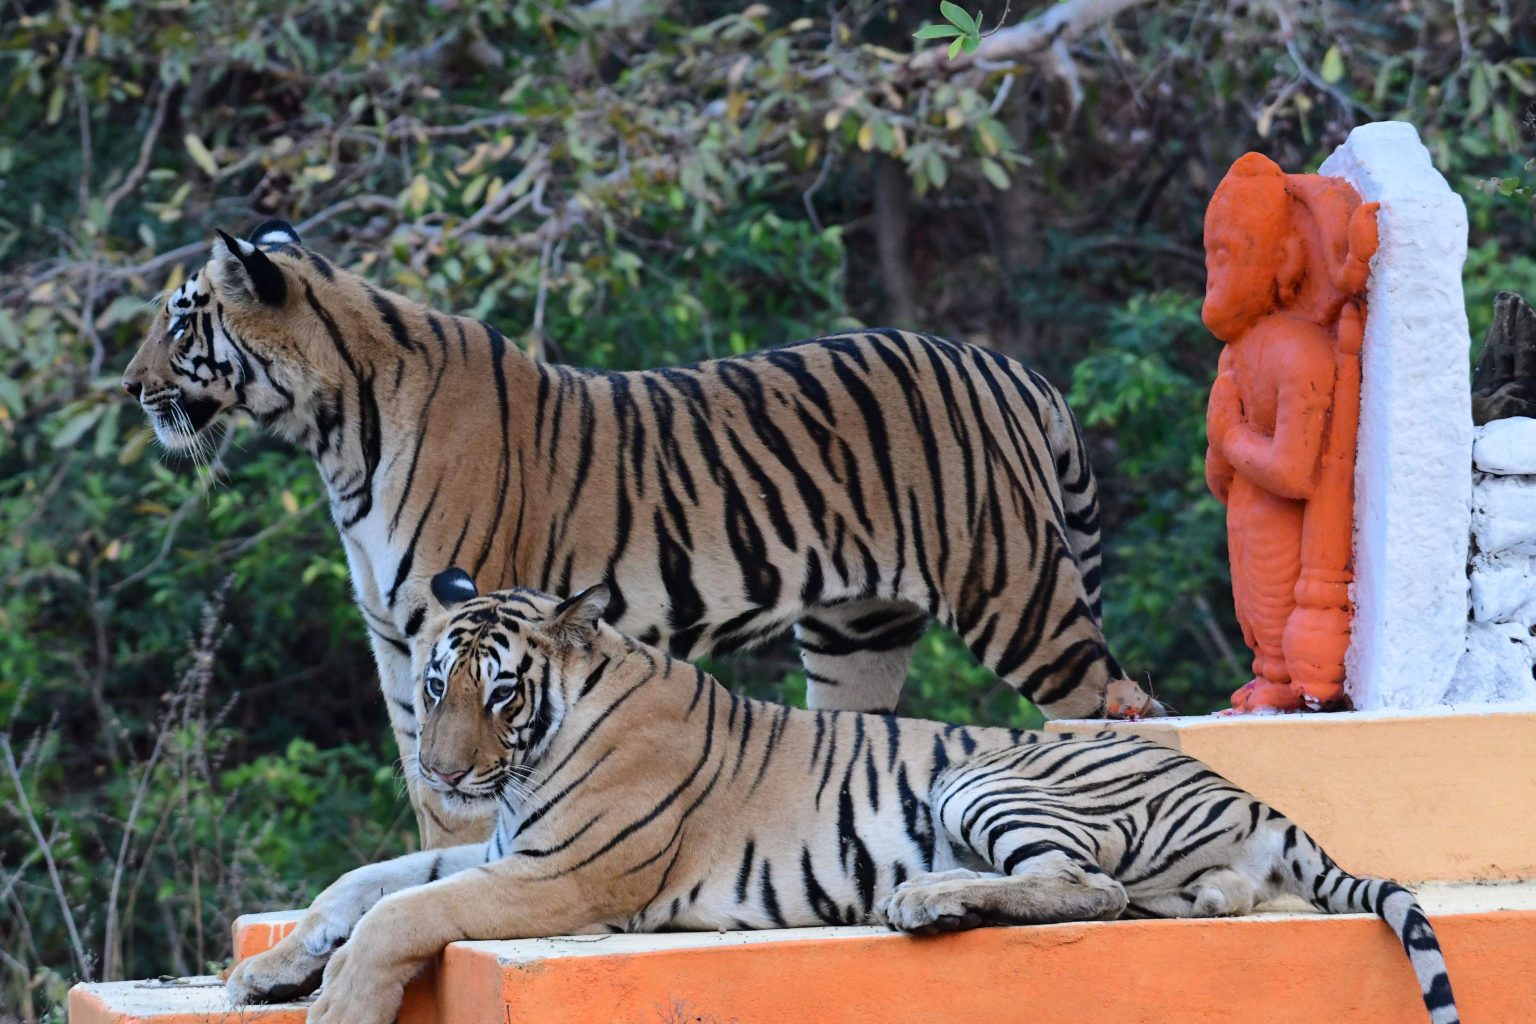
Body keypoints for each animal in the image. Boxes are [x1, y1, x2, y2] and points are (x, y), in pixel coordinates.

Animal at [122, 219, 1162, 849]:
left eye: (182, 321)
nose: (130, 387)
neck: (332, 433)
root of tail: (1012, 368)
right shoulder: (393, 637)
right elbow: (427, 773)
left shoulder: (446, 617)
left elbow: (458, 780)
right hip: (855, 635)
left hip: (1015, 590)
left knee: (1114, 702)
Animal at [224, 571, 1457, 1024]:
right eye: (435, 688)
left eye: (499, 692)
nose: (441, 771)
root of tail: (1241, 789)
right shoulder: (506, 848)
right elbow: (367, 882)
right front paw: (268, 970)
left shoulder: (562, 874)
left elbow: (404, 910)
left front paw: (338, 1003)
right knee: (1173, 899)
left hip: (982, 775)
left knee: (1088, 887)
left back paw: (928, 903)